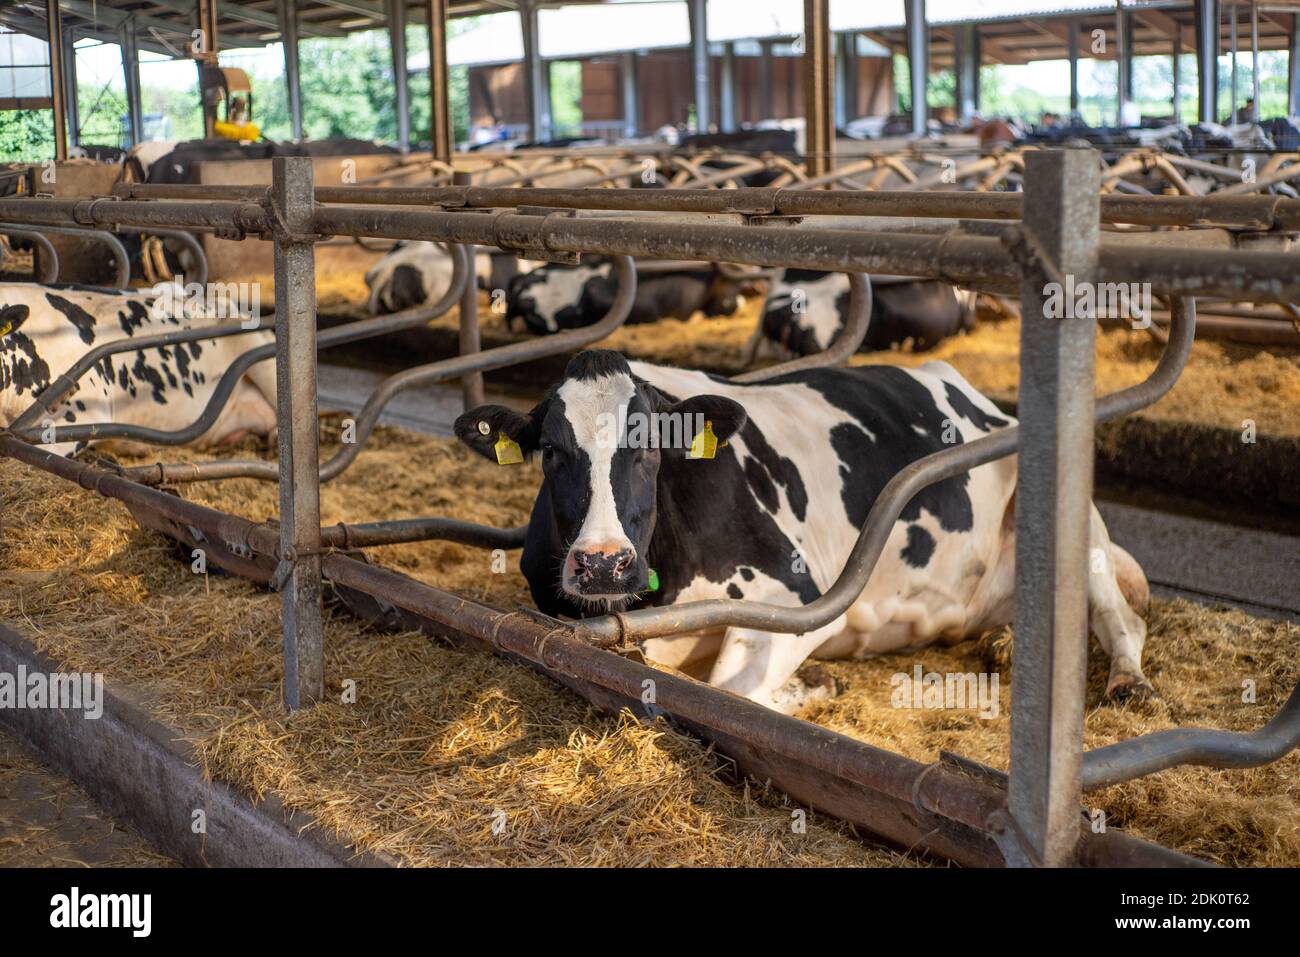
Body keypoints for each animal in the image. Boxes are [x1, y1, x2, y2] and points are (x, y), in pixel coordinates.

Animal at [454, 349, 1151, 714]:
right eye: (550, 450)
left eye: (652, 447)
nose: (602, 563)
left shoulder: (798, 595)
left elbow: (729, 689)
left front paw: (811, 687)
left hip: (1073, 513)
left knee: (1121, 617)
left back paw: (1130, 684)